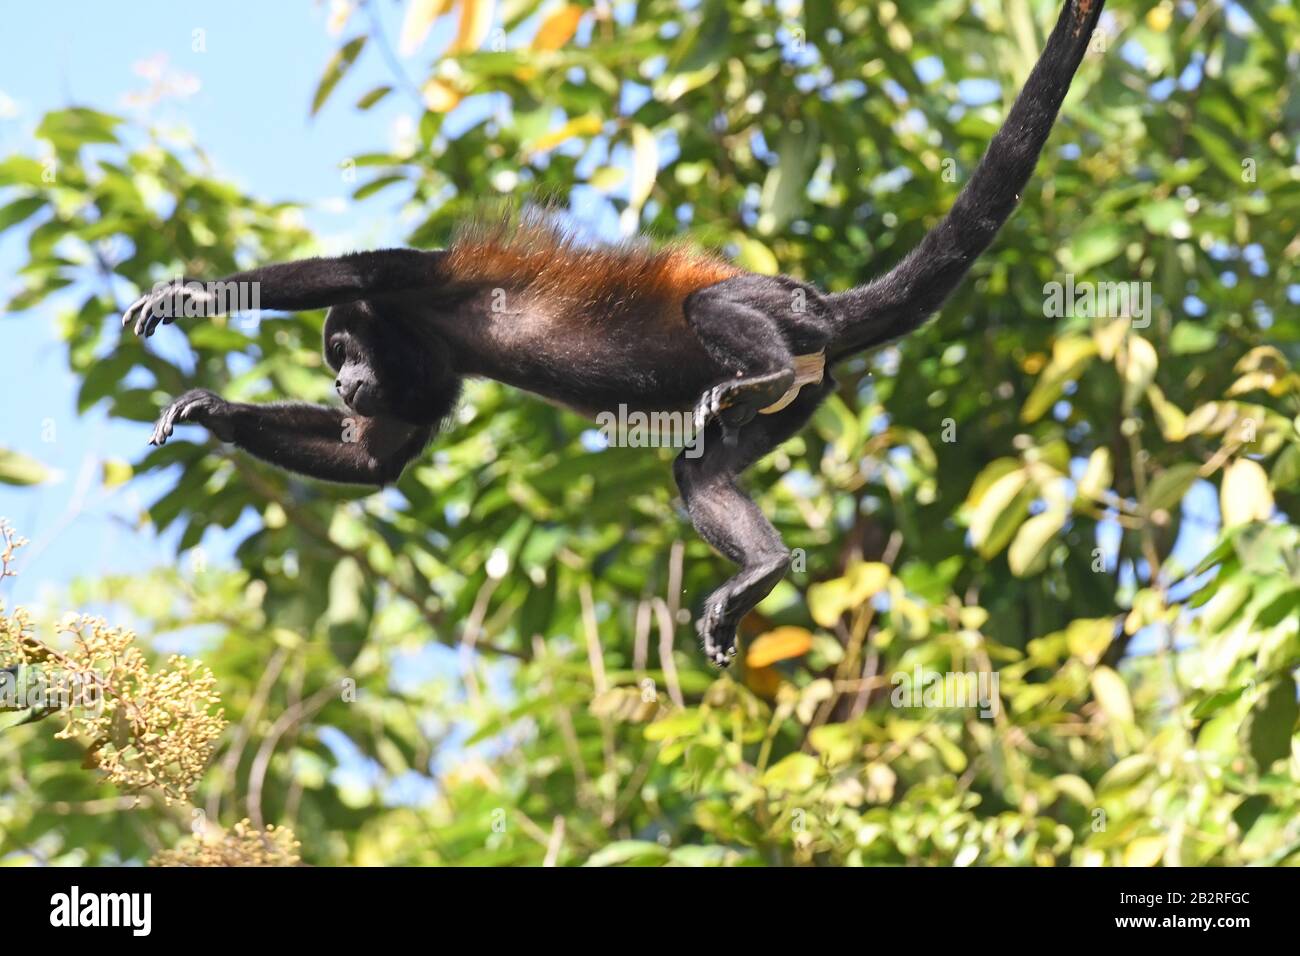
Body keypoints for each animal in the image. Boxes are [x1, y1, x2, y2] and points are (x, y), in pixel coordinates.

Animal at [121, 0, 1105, 666]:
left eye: (341, 350)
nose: (337, 382)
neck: (418, 342)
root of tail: (824, 314)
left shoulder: (426, 285)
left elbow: (361, 271)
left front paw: (192, 294)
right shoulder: (424, 375)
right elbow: (375, 457)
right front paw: (210, 410)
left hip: (777, 308)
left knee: (712, 317)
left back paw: (750, 379)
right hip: (810, 393)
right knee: (700, 472)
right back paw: (760, 568)